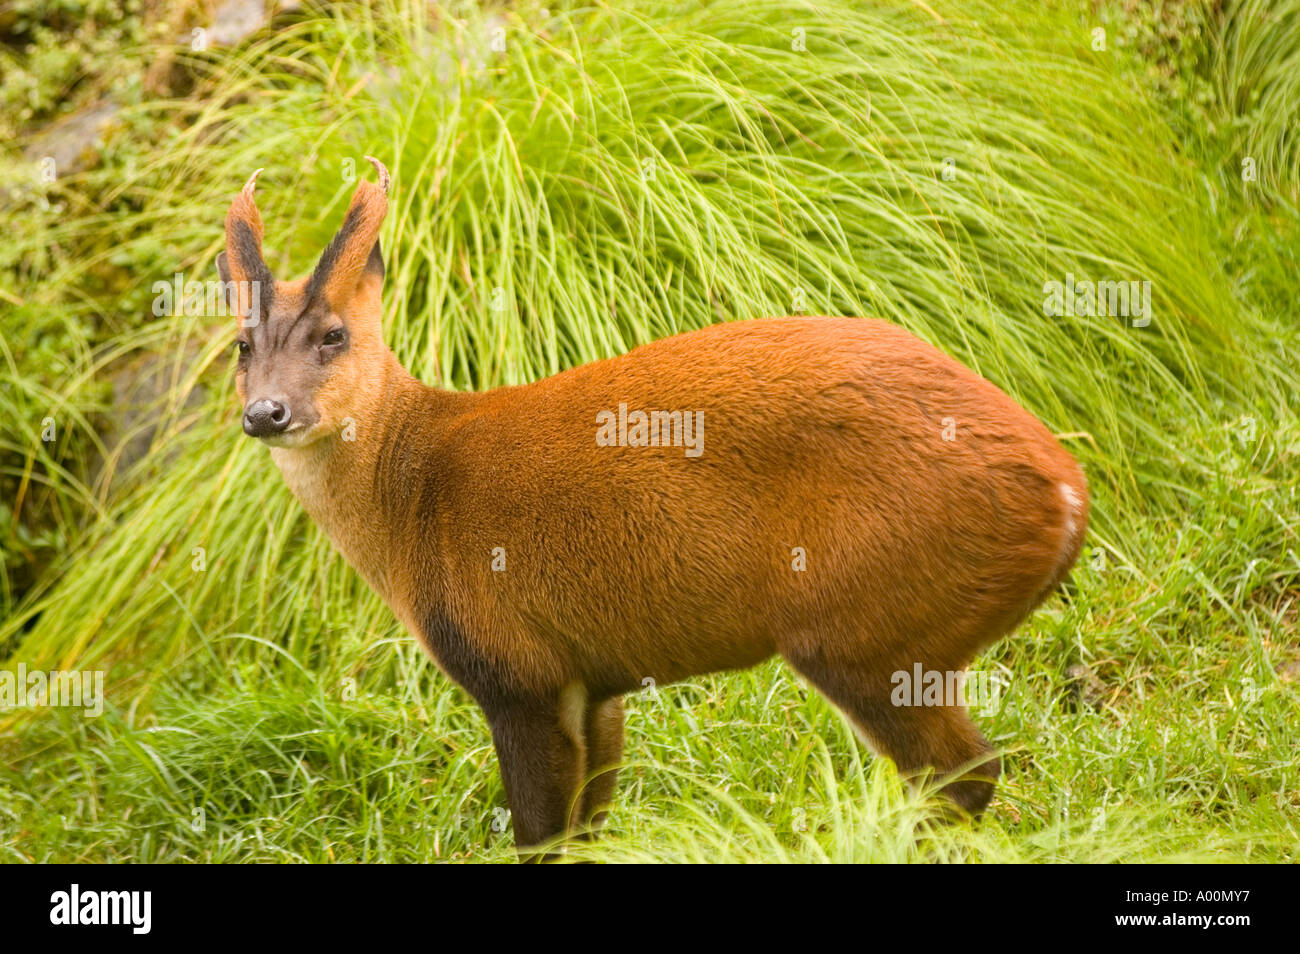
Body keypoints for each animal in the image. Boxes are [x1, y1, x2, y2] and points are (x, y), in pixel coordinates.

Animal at [218, 158, 1088, 859]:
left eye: (333, 335)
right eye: (240, 345)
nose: (266, 413)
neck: (412, 497)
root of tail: (1066, 491)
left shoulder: (515, 669)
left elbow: (541, 838)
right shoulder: (593, 679)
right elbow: (588, 831)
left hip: (863, 625)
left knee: (962, 776)